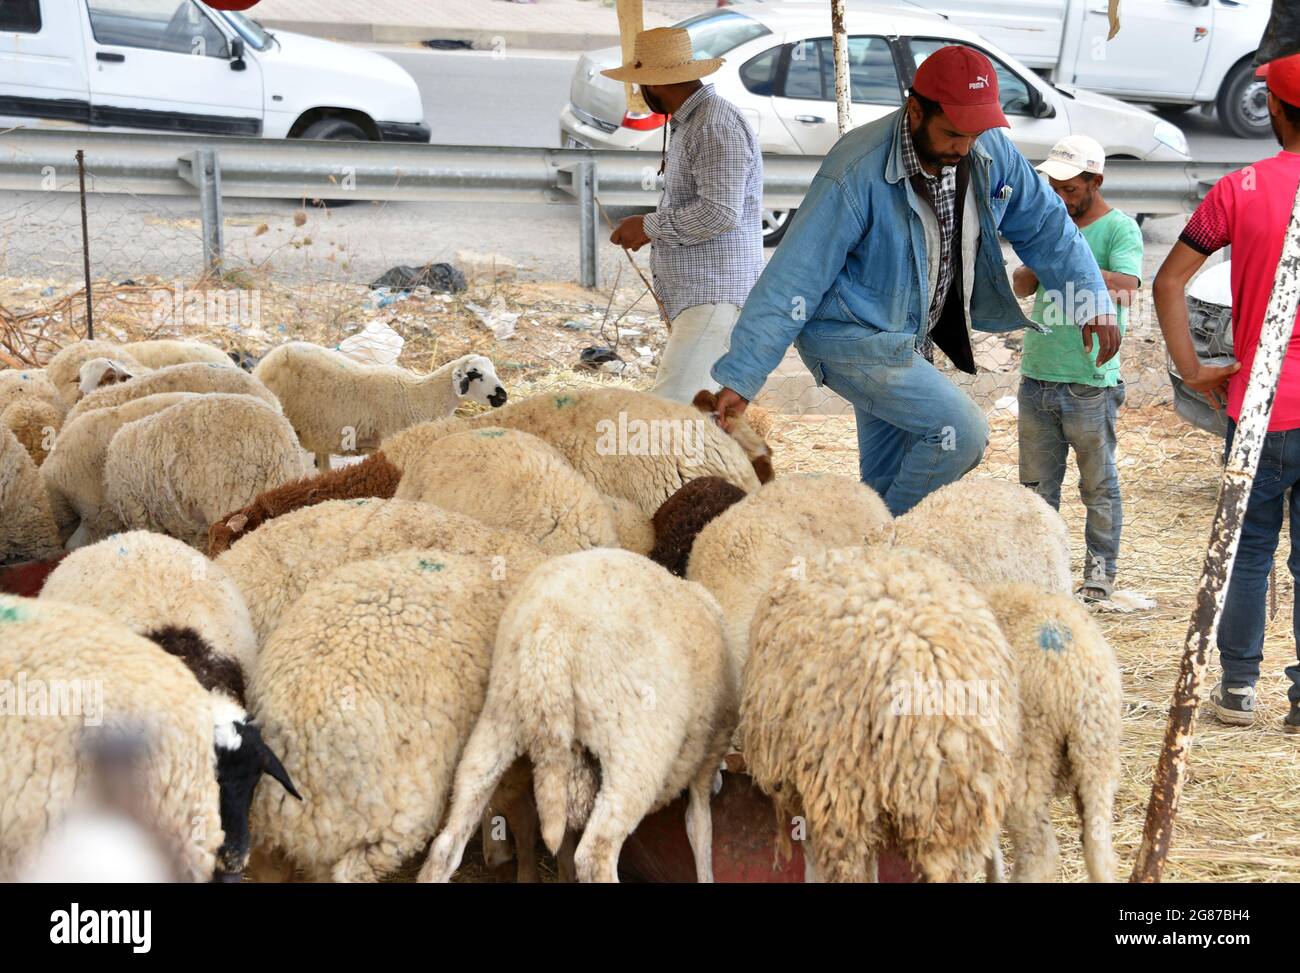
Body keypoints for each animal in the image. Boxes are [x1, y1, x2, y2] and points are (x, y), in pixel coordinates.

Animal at [420, 548, 737, 884]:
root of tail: (550, 641)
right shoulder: (712, 742)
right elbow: (699, 825)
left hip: (498, 720)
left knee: (446, 845)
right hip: (635, 751)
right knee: (595, 855)